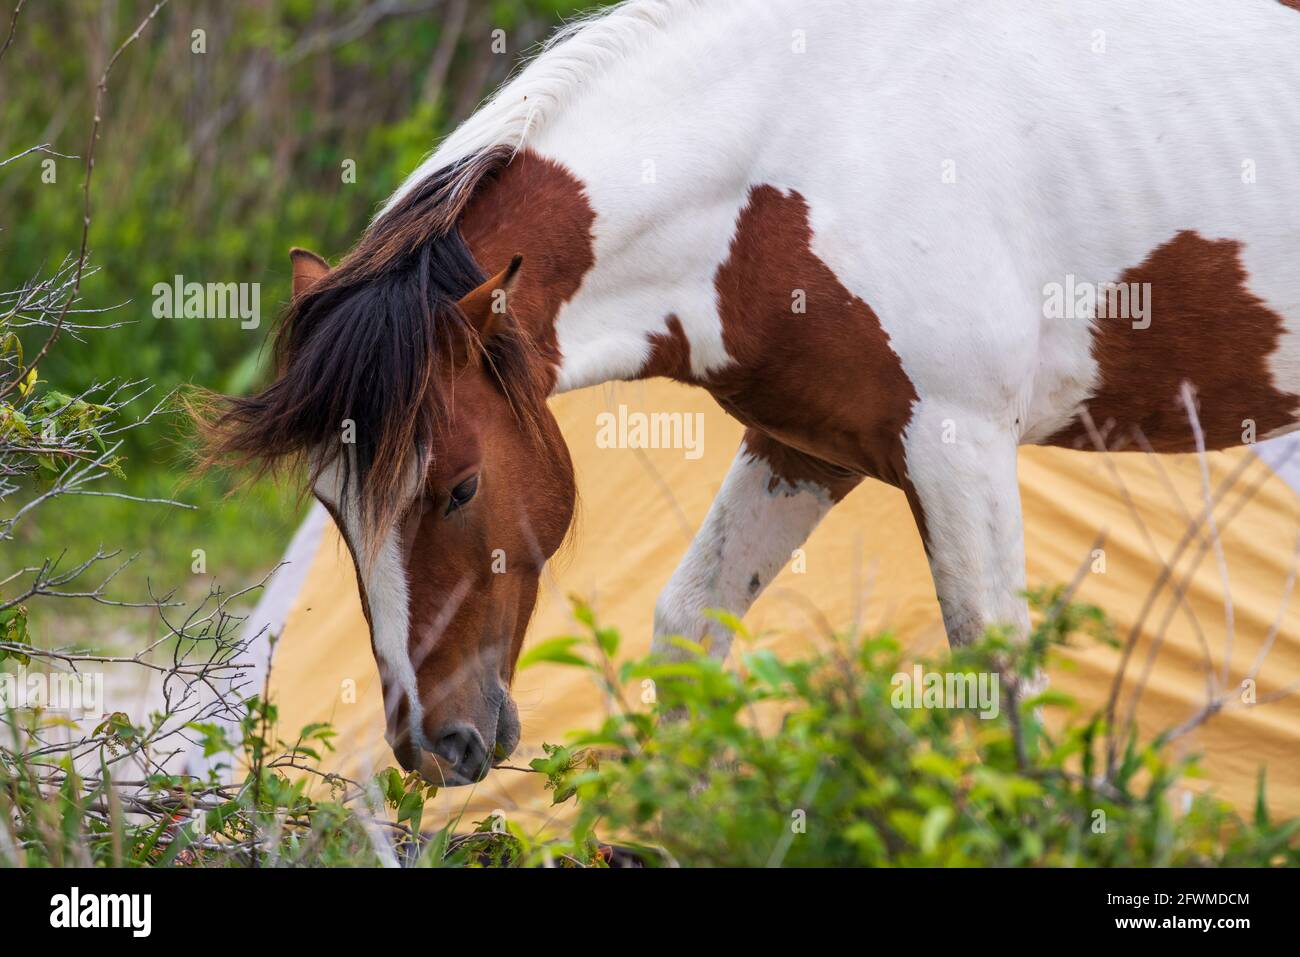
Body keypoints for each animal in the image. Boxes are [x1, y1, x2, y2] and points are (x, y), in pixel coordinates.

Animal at [201, 0, 1300, 785]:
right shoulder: (805, 449)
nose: (434, 747)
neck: (811, 140)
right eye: (332, 506)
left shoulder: (959, 445)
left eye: (461, 488)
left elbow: (1000, 678)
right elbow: (689, 630)